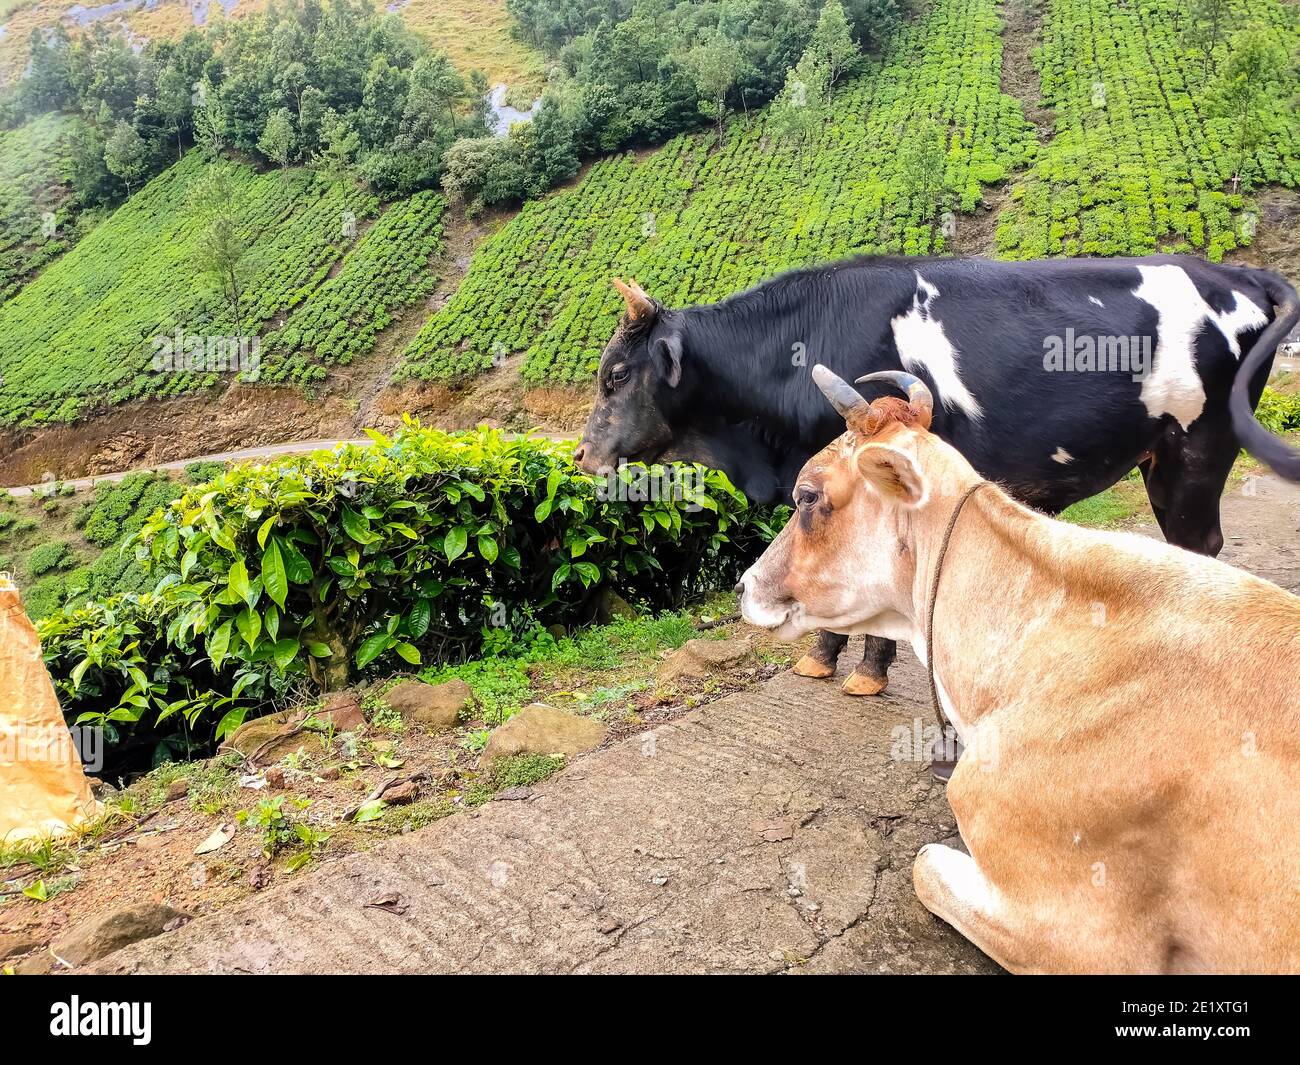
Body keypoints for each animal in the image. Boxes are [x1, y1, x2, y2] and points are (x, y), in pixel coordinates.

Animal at [575, 255, 1300, 698]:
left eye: (616, 375)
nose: (580, 457)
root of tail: (1230, 271)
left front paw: (865, 669)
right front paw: (823, 657)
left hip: (1198, 450)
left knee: (1199, 544)